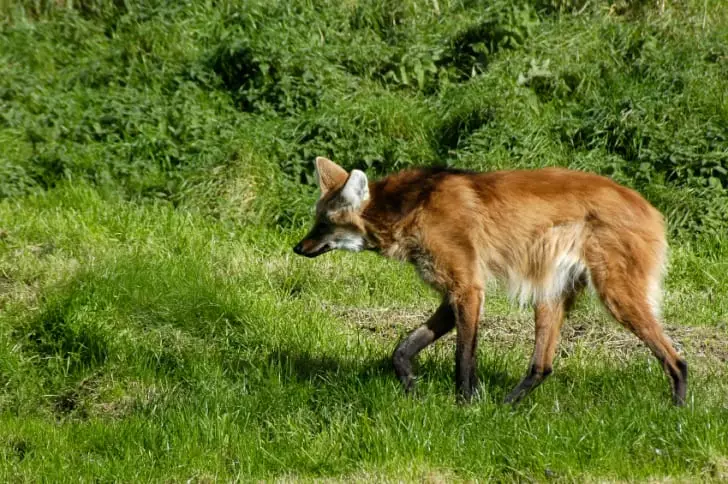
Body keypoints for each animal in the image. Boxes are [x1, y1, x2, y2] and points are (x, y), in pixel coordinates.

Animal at [292, 158, 688, 404]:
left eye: (323, 224)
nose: (297, 247)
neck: (411, 206)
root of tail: (651, 209)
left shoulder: (468, 288)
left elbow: (463, 357)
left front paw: (465, 406)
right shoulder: (454, 291)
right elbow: (402, 349)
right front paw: (411, 390)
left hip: (615, 293)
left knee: (677, 359)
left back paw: (678, 413)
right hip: (551, 288)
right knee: (542, 365)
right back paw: (505, 407)